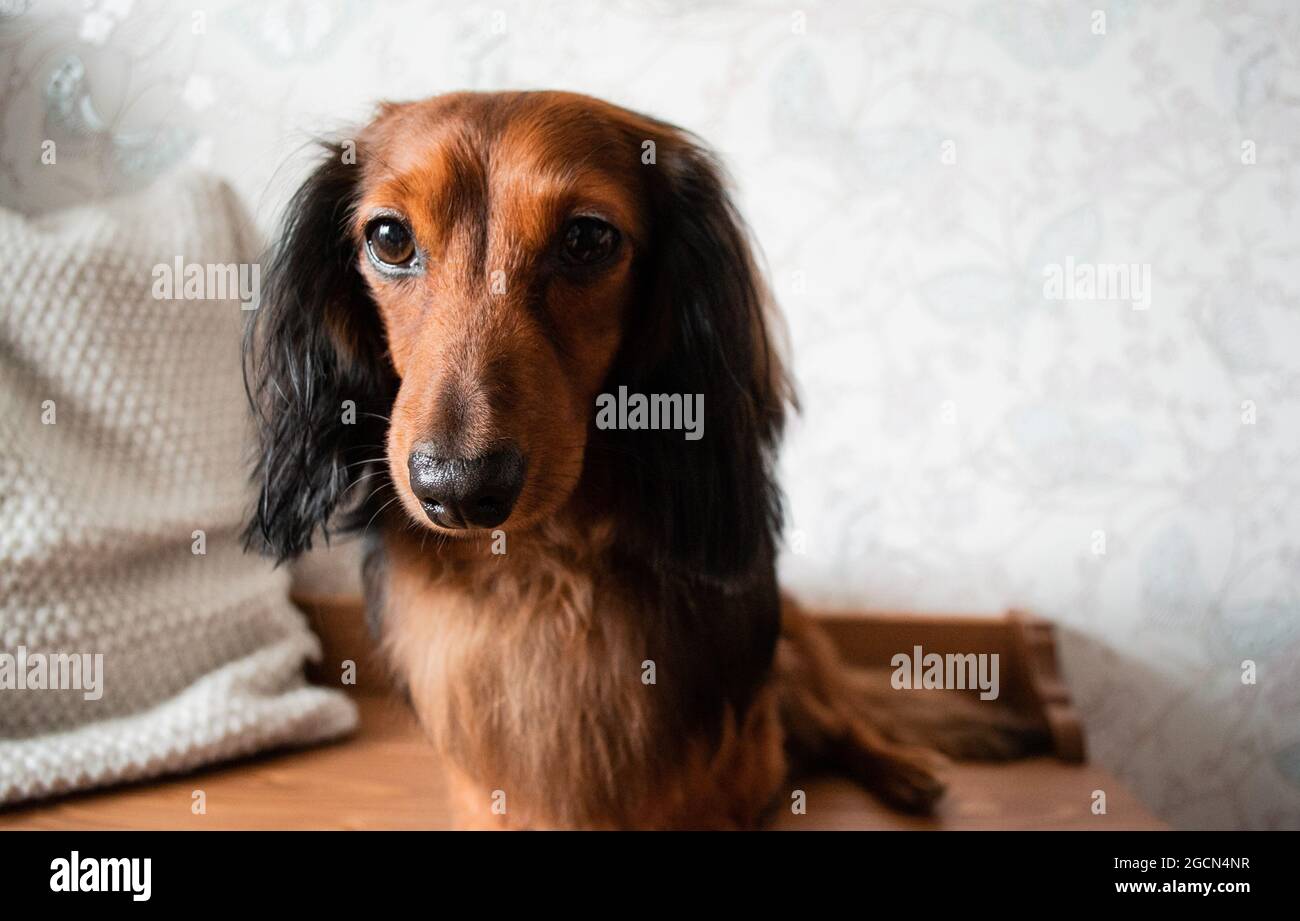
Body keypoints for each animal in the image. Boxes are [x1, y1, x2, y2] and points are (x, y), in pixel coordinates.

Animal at [239, 91, 1040, 827]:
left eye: (588, 239)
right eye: (389, 238)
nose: (458, 491)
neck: (545, 571)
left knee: (842, 718)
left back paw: (905, 770)